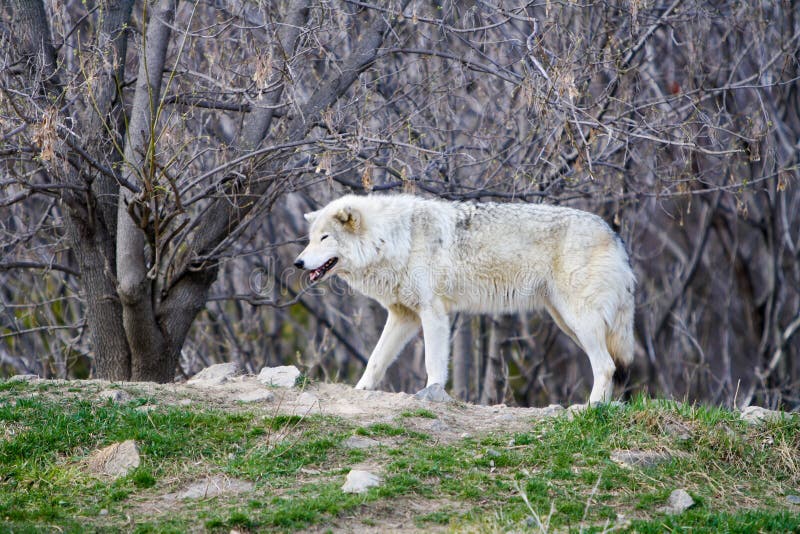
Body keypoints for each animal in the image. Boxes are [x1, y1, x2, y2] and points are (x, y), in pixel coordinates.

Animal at [294, 194, 635, 404]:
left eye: (325, 238)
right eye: (310, 240)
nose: (298, 263)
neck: (392, 239)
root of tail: (615, 235)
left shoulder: (433, 313)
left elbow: (433, 363)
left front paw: (431, 395)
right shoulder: (404, 317)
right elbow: (376, 360)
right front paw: (361, 389)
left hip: (579, 321)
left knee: (606, 366)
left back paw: (588, 410)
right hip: (568, 324)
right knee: (608, 366)